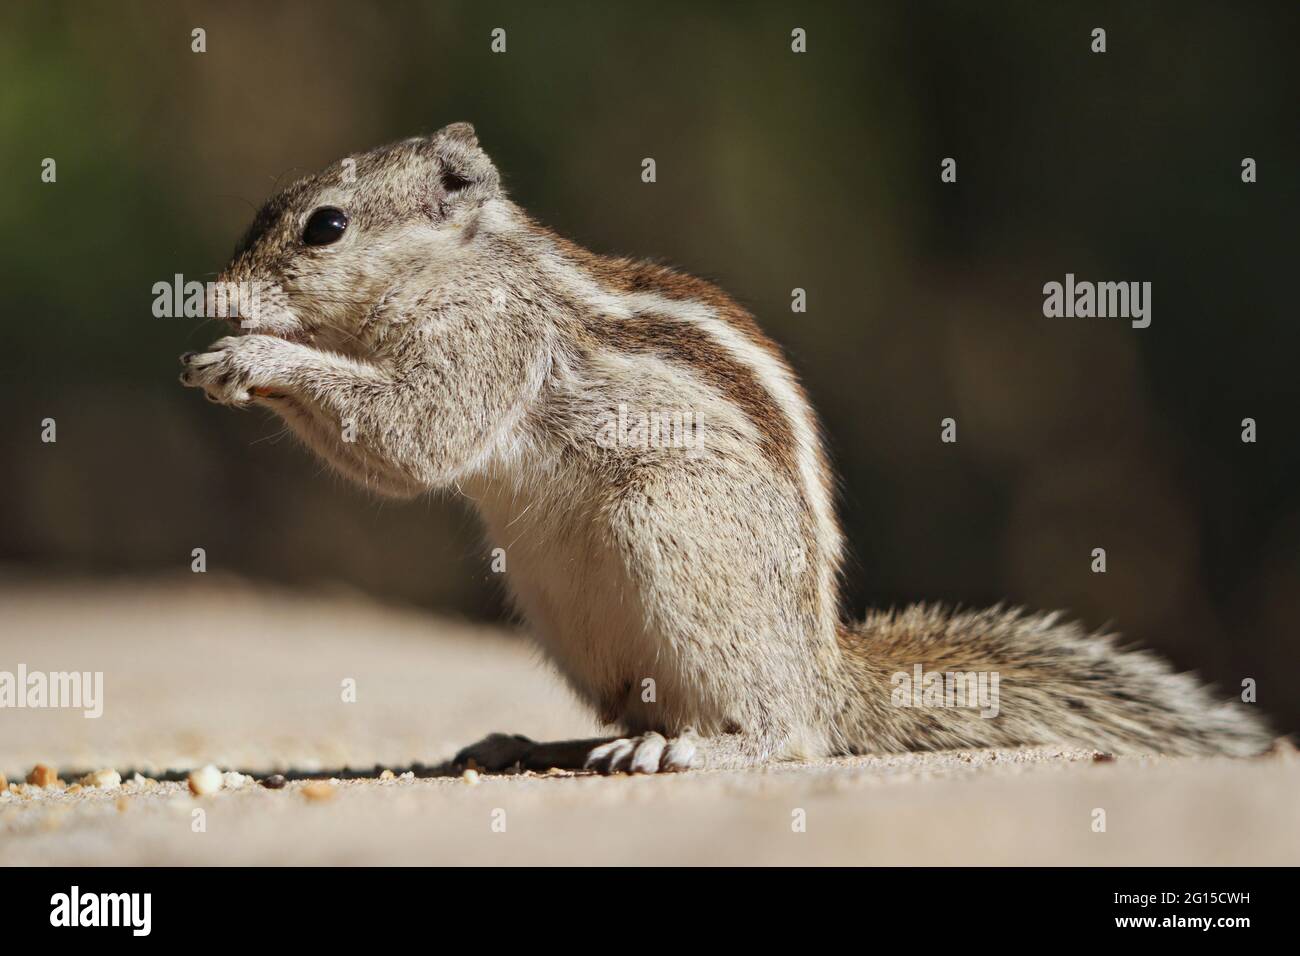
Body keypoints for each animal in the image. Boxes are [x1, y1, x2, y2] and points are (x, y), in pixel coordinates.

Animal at [181, 123, 1270, 772]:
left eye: (325, 226)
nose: (212, 295)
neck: (463, 269)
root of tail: (823, 670)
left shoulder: (485, 349)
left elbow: (415, 438)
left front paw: (255, 356)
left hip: (670, 540)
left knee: (787, 737)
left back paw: (692, 751)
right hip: (569, 611)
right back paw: (519, 743)